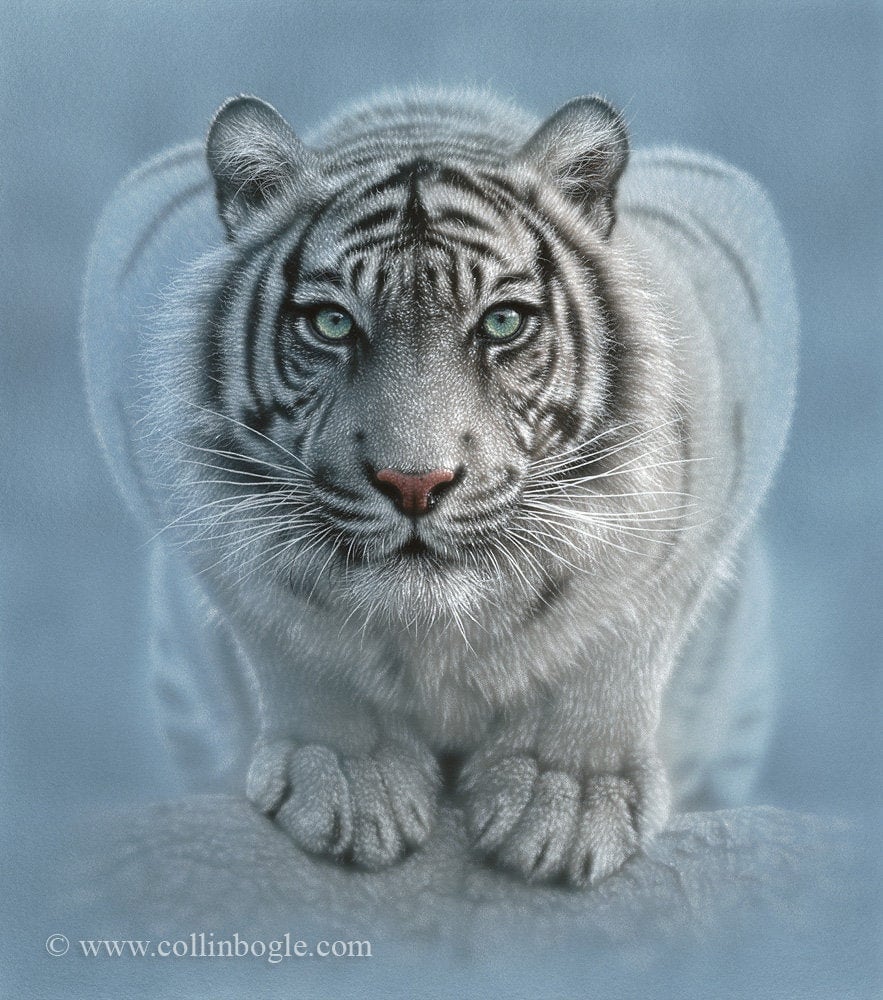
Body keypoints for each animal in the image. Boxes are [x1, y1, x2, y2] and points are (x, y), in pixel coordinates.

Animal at [81, 89, 797, 886]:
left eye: (503, 322)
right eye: (332, 324)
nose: (414, 484)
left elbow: (632, 617)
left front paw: (565, 793)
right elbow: (282, 620)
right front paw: (350, 774)